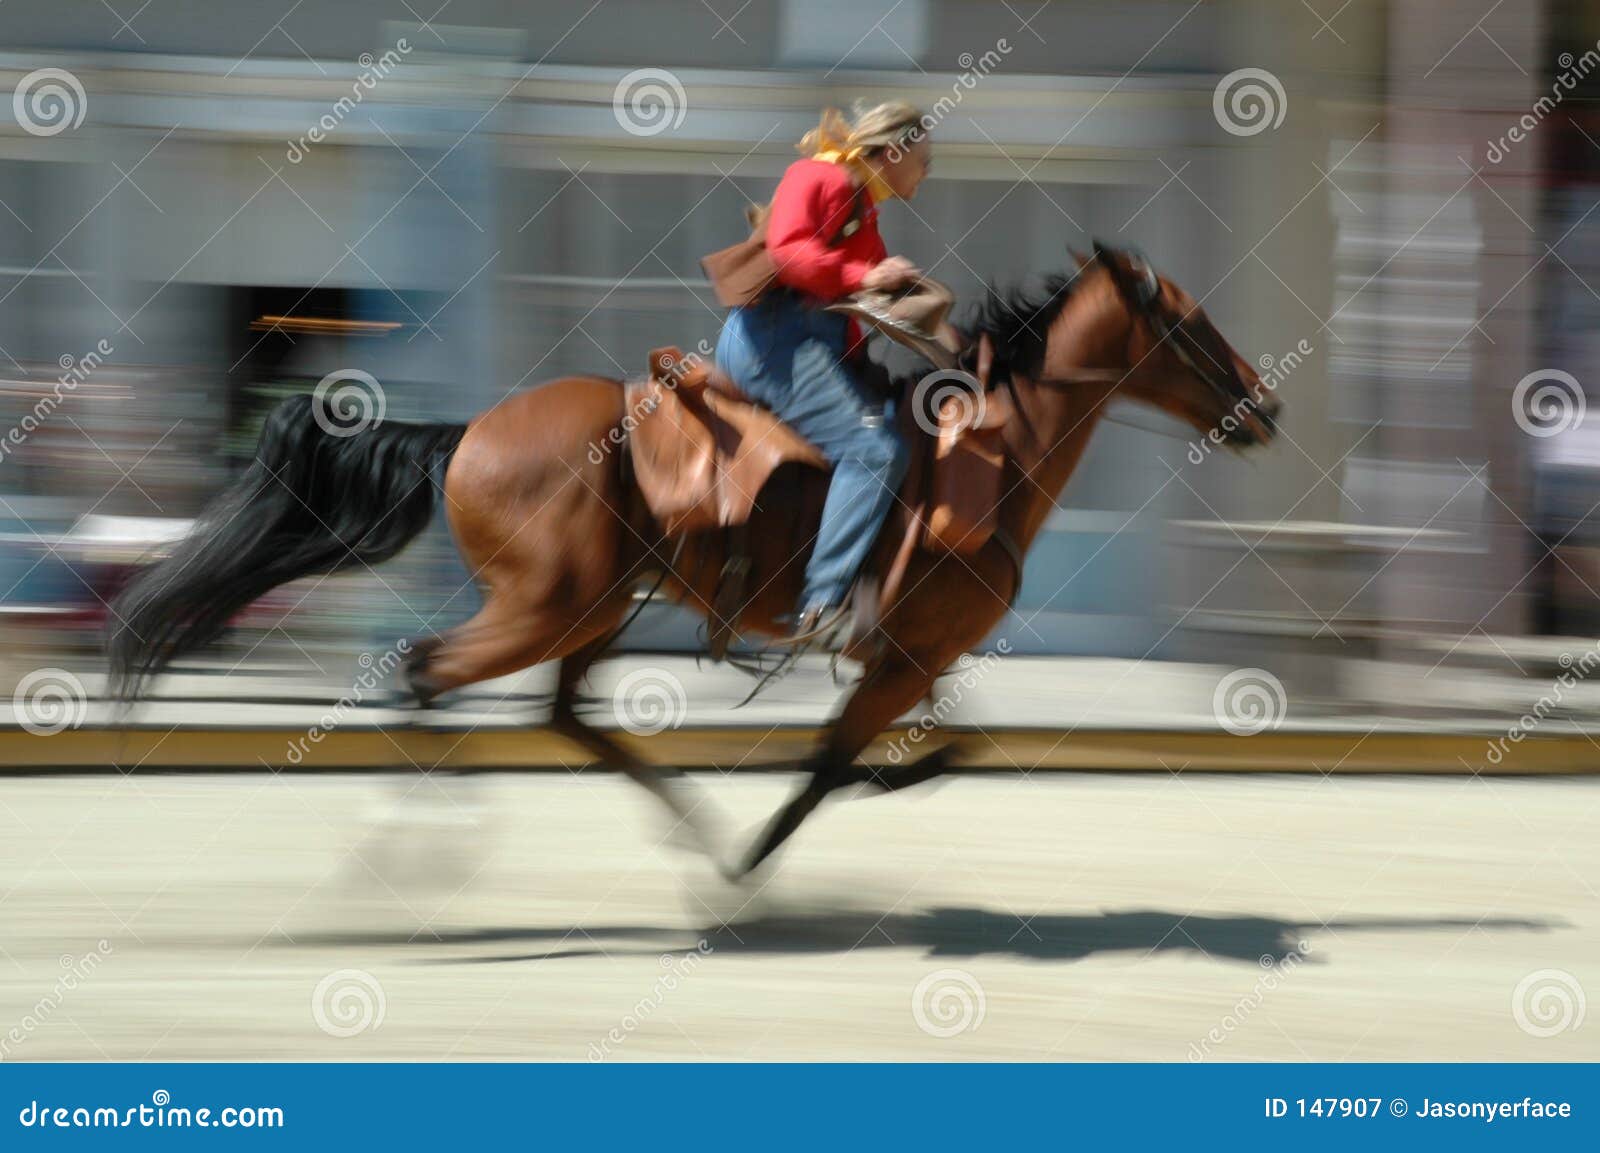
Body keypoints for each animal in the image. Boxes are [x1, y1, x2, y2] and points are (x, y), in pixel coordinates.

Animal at [107, 241, 1280, 877]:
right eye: (1187, 322)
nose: (1265, 404)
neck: (990, 451)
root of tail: (470, 431)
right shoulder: (905, 659)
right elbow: (833, 766)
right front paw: (765, 860)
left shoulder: (918, 657)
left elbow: (946, 749)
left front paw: (827, 811)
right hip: (543, 609)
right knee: (425, 671)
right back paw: (432, 846)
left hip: (588, 616)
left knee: (563, 717)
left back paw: (687, 832)